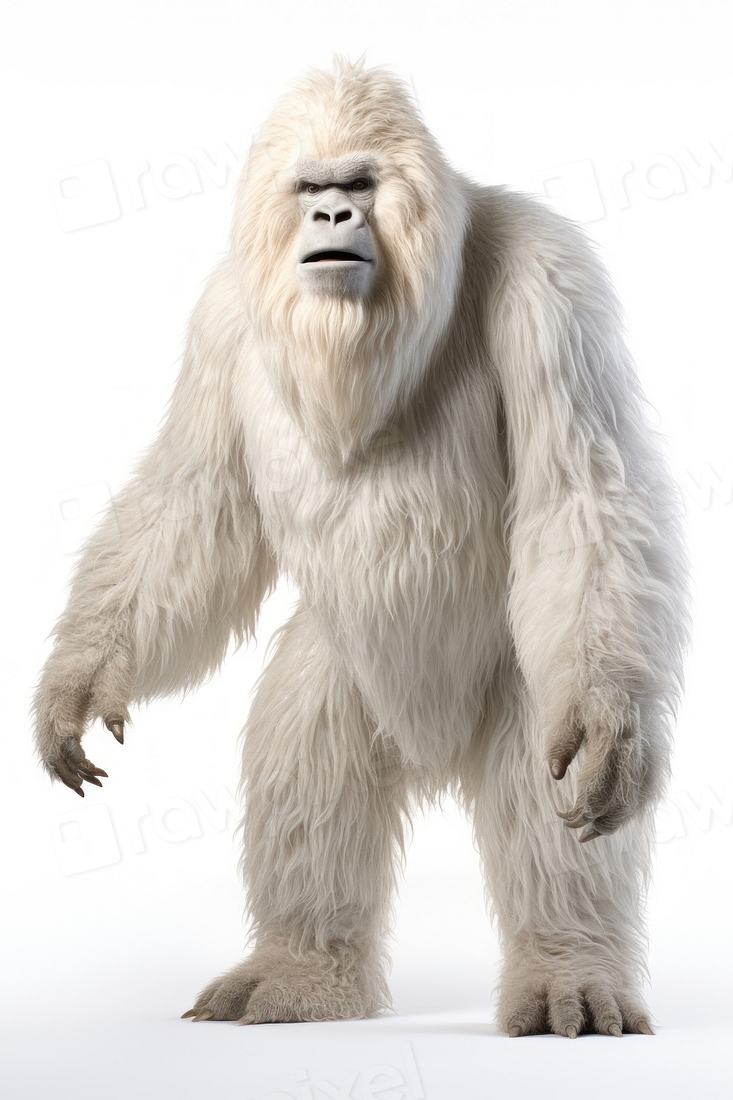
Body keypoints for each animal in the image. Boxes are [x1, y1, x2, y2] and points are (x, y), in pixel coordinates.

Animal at [34, 59, 688, 1036]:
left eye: (361, 183)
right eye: (312, 186)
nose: (334, 216)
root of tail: (433, 753)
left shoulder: (548, 279)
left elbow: (580, 491)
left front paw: (612, 734)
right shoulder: (221, 320)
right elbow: (192, 505)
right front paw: (75, 678)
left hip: (526, 665)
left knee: (545, 785)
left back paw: (568, 977)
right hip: (344, 671)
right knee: (304, 764)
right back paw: (298, 974)